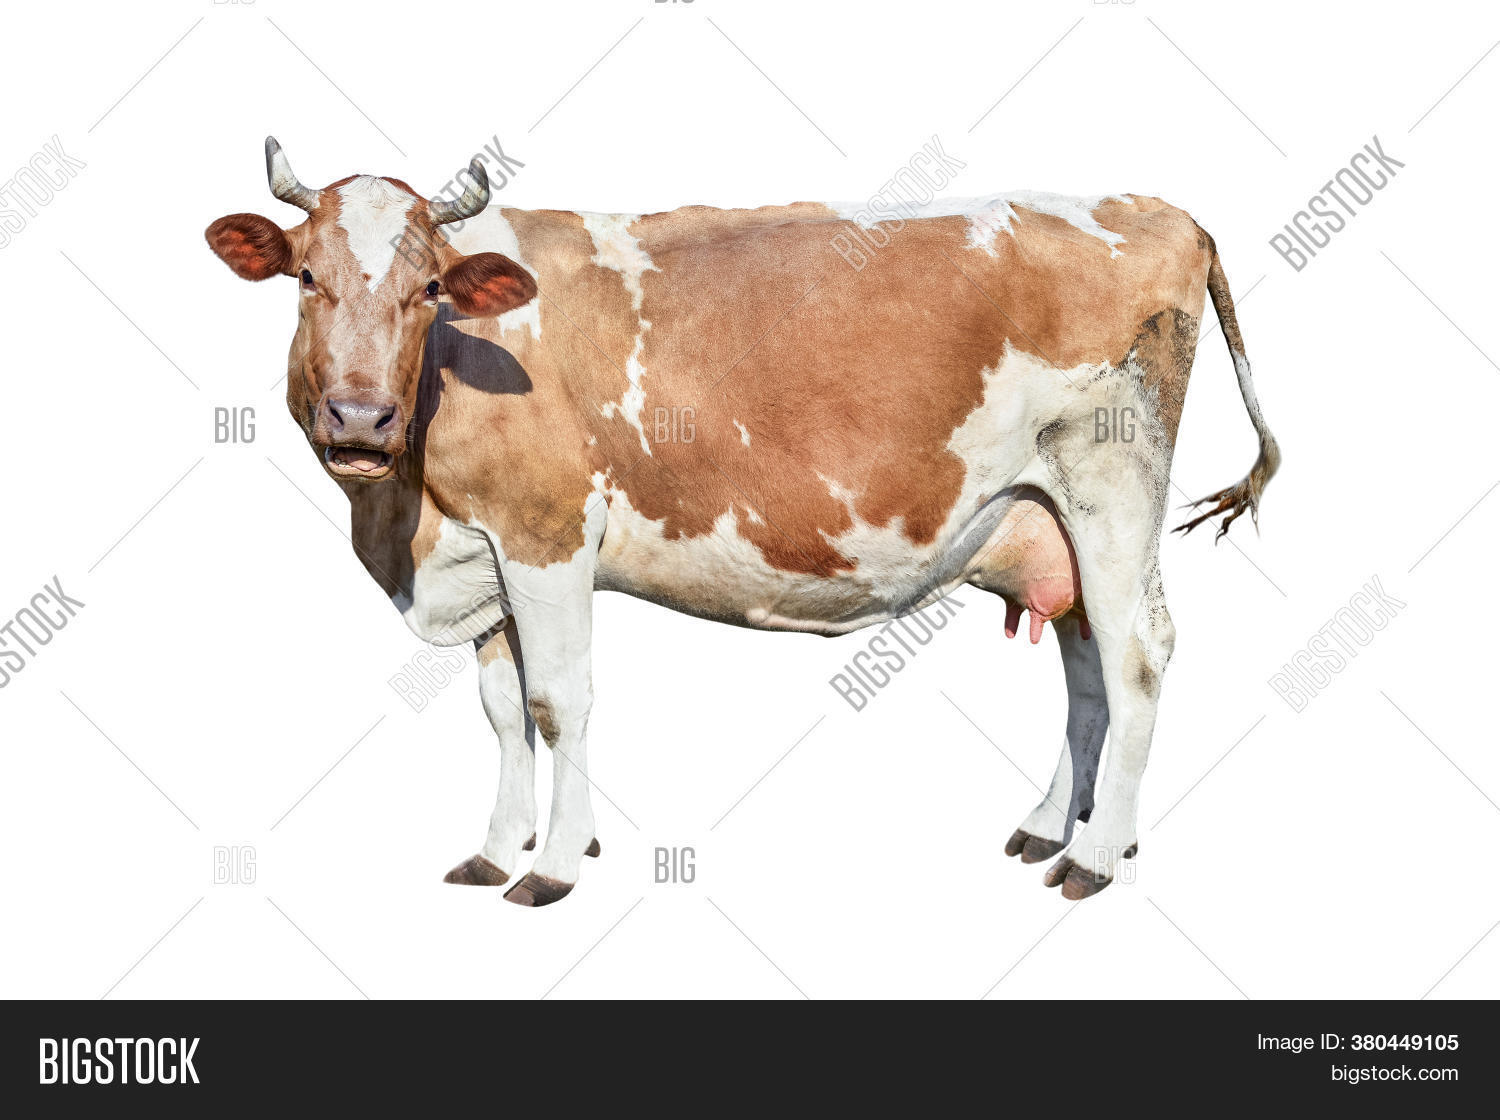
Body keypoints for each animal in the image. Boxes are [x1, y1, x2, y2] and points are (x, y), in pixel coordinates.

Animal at [206, 138, 1279, 905]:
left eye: (428, 287)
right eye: (305, 277)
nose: (358, 418)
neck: (409, 523)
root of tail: (1156, 206)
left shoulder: (547, 535)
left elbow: (558, 703)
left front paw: (554, 863)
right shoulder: (486, 552)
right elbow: (503, 710)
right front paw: (497, 848)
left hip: (1113, 482)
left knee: (1138, 656)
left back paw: (1096, 856)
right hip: (1051, 518)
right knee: (1087, 669)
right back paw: (1060, 826)